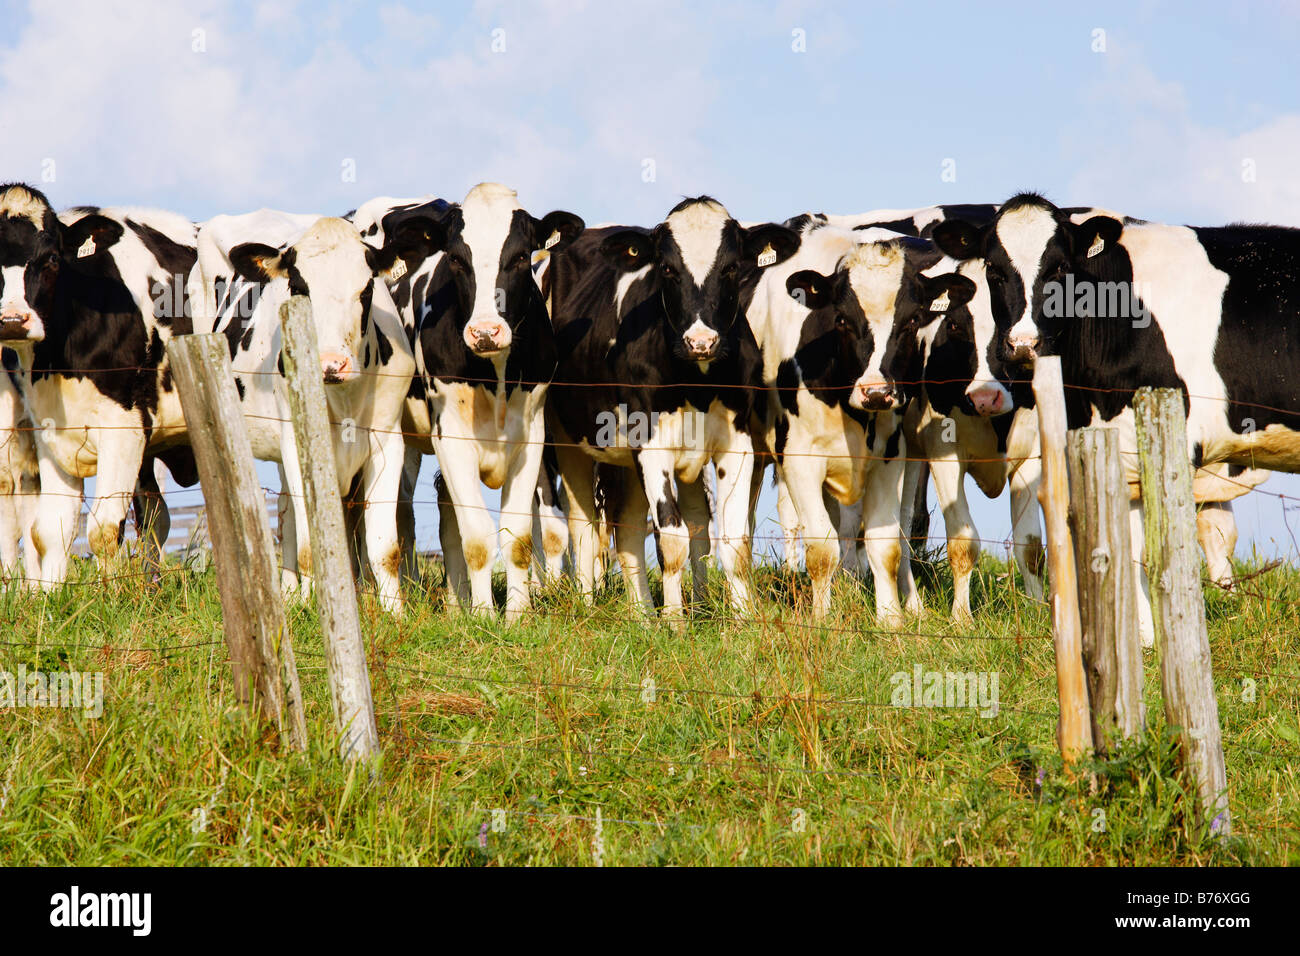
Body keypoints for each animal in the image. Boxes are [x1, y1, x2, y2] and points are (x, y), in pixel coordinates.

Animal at [0, 184, 200, 586]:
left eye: (52, 259)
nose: (12, 320)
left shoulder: (125, 426)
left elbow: (104, 529)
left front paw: (114, 594)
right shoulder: (48, 431)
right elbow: (49, 531)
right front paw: (49, 595)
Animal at [187, 210, 419, 613]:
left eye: (367, 291)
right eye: (297, 288)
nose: (330, 363)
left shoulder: (388, 440)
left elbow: (384, 549)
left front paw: (396, 614)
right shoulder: (296, 443)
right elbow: (313, 542)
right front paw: (314, 608)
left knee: (286, 511)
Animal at [542, 197, 799, 618]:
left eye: (731, 267)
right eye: (666, 268)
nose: (701, 341)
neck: (698, 382)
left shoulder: (738, 443)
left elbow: (734, 540)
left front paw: (744, 619)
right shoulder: (651, 445)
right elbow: (672, 539)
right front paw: (676, 622)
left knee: (627, 526)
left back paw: (642, 615)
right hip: (566, 438)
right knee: (583, 525)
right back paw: (588, 604)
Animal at [932, 192, 1281, 640]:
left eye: (1059, 267)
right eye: (994, 269)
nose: (1023, 344)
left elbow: (1035, 547)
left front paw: (1042, 610)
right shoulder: (941, 451)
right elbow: (964, 541)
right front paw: (963, 620)